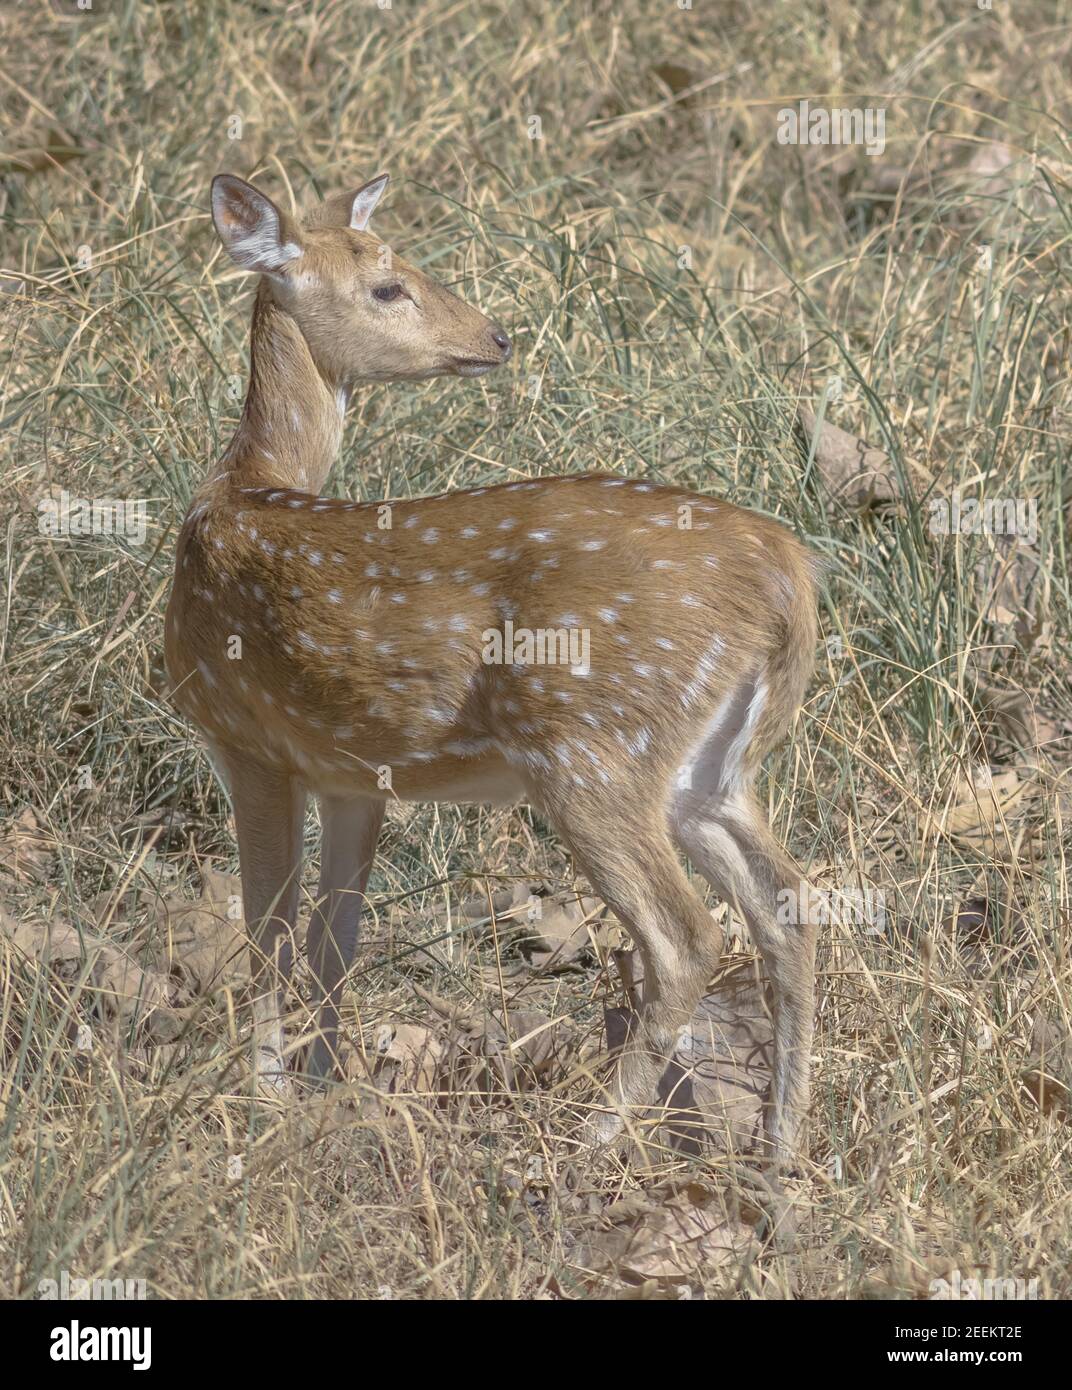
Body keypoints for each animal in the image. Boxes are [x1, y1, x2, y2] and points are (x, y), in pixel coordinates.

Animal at [164, 171, 821, 1171]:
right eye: (389, 285)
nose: (497, 336)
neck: (239, 493)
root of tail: (786, 574)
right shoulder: (351, 773)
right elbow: (333, 936)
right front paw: (324, 1089)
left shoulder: (247, 736)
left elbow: (268, 928)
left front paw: (266, 1099)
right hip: (709, 771)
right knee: (787, 905)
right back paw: (781, 1146)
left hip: (589, 748)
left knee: (685, 937)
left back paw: (589, 1142)